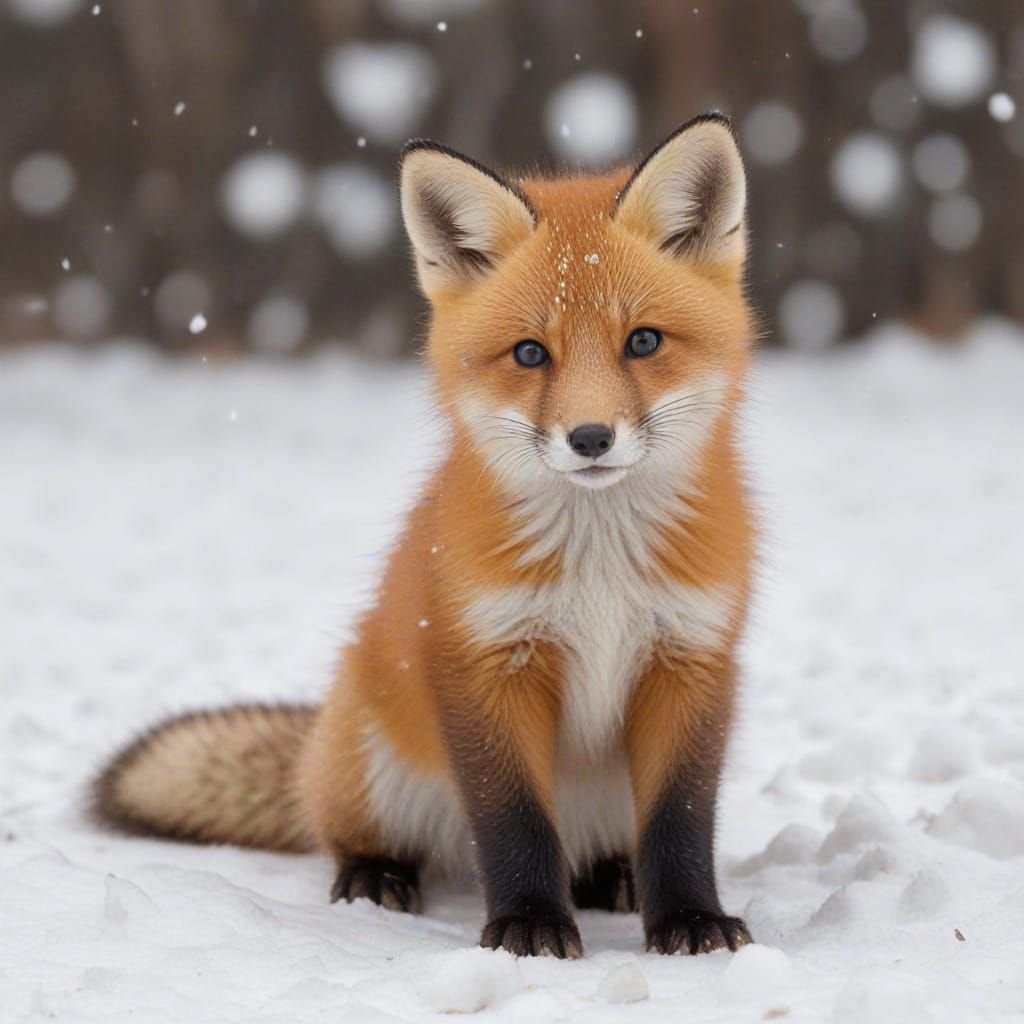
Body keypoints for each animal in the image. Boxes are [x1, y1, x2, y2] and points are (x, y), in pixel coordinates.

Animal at [93, 112, 757, 959]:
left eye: (643, 342)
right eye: (531, 353)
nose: (590, 438)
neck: (599, 567)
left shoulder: (692, 662)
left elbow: (680, 821)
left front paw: (689, 921)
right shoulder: (483, 665)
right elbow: (512, 821)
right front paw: (528, 924)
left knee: (603, 849)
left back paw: (612, 879)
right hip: (375, 764)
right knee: (362, 835)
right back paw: (375, 876)